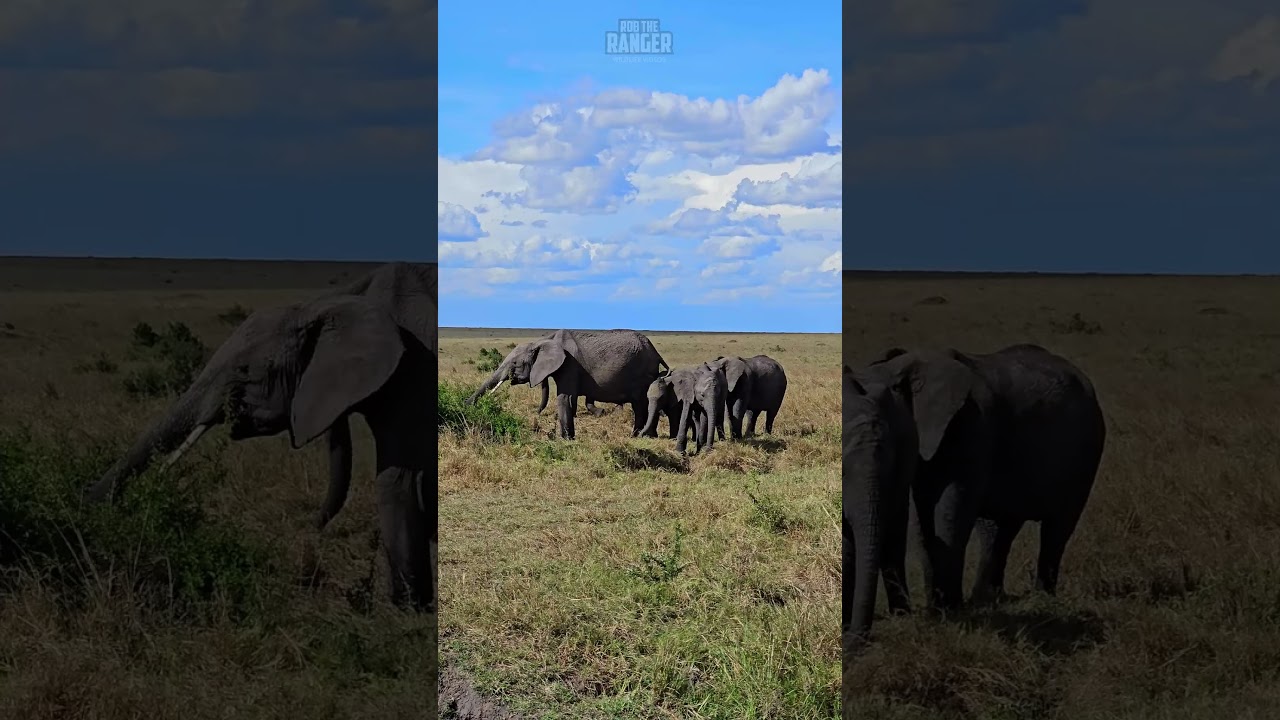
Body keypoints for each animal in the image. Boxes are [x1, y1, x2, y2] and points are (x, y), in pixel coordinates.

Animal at [467, 329, 669, 439]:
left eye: (515, 363)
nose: (466, 405)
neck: (544, 340)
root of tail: (656, 351)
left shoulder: (570, 364)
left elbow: (564, 397)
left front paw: (563, 440)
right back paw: (648, 436)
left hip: (642, 373)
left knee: (641, 404)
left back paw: (638, 435)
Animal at [863, 343, 1106, 611]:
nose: (905, 609)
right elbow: (922, 513)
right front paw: (938, 609)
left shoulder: (969, 424)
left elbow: (950, 509)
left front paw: (947, 611)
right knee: (998, 529)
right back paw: (986, 600)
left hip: (1086, 452)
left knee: (1058, 527)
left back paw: (1042, 597)